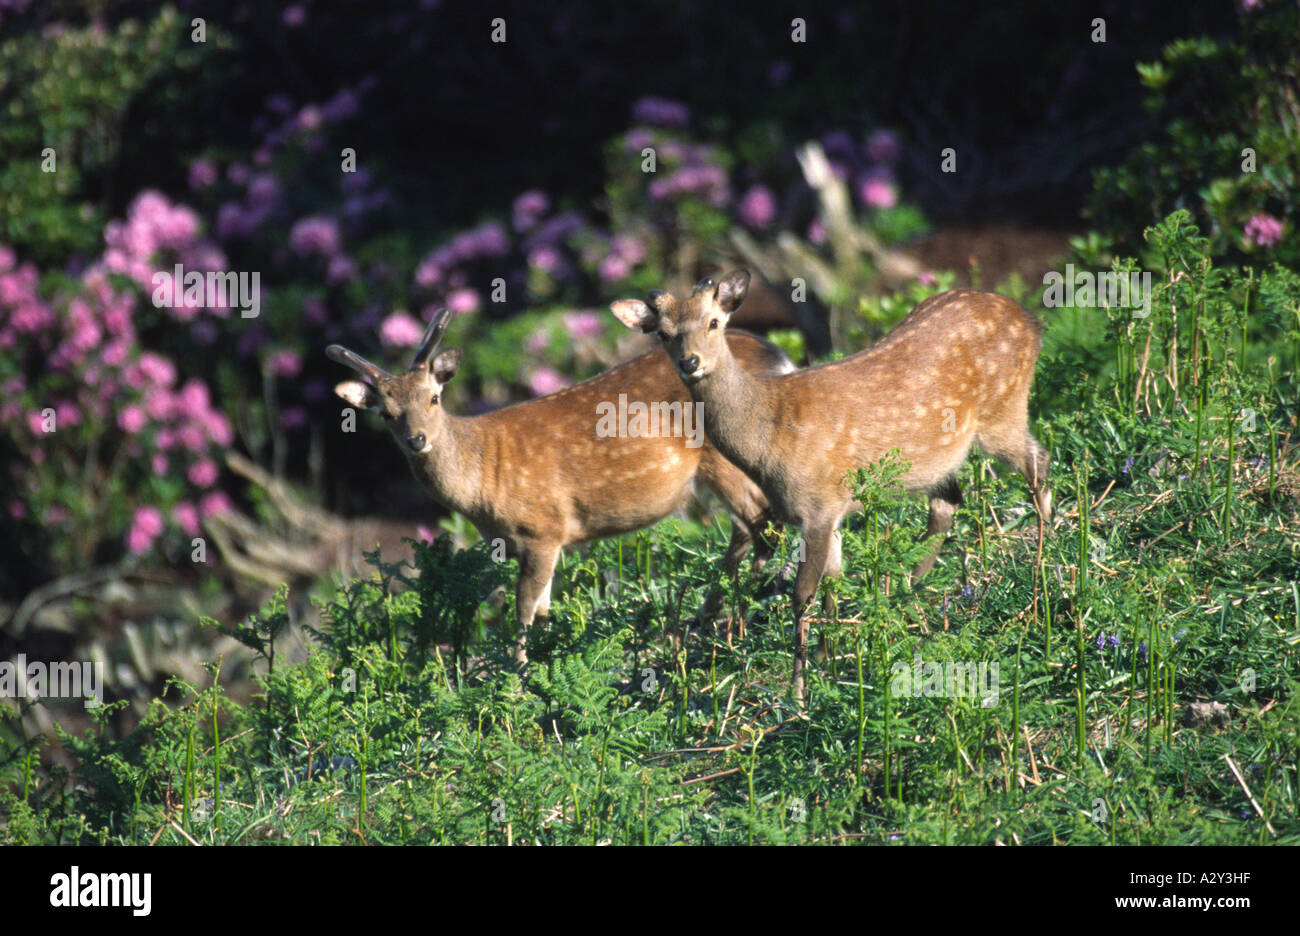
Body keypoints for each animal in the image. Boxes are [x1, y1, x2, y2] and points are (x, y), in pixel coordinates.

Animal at [326, 308, 794, 669]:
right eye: (386, 414)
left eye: (434, 398)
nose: (417, 439)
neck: (483, 480)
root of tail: (781, 359)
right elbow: (546, 610)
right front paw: (548, 664)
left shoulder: (542, 529)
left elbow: (523, 609)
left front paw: (516, 679)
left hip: (724, 458)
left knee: (758, 523)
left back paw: (735, 614)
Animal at [611, 270, 1051, 700]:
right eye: (663, 333)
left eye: (714, 322)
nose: (690, 361)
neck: (768, 443)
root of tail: (1031, 321)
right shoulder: (829, 510)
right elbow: (833, 581)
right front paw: (829, 660)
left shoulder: (818, 506)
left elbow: (802, 594)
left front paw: (798, 690)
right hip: (943, 459)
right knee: (949, 503)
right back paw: (907, 592)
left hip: (1002, 411)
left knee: (1037, 463)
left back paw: (1043, 562)